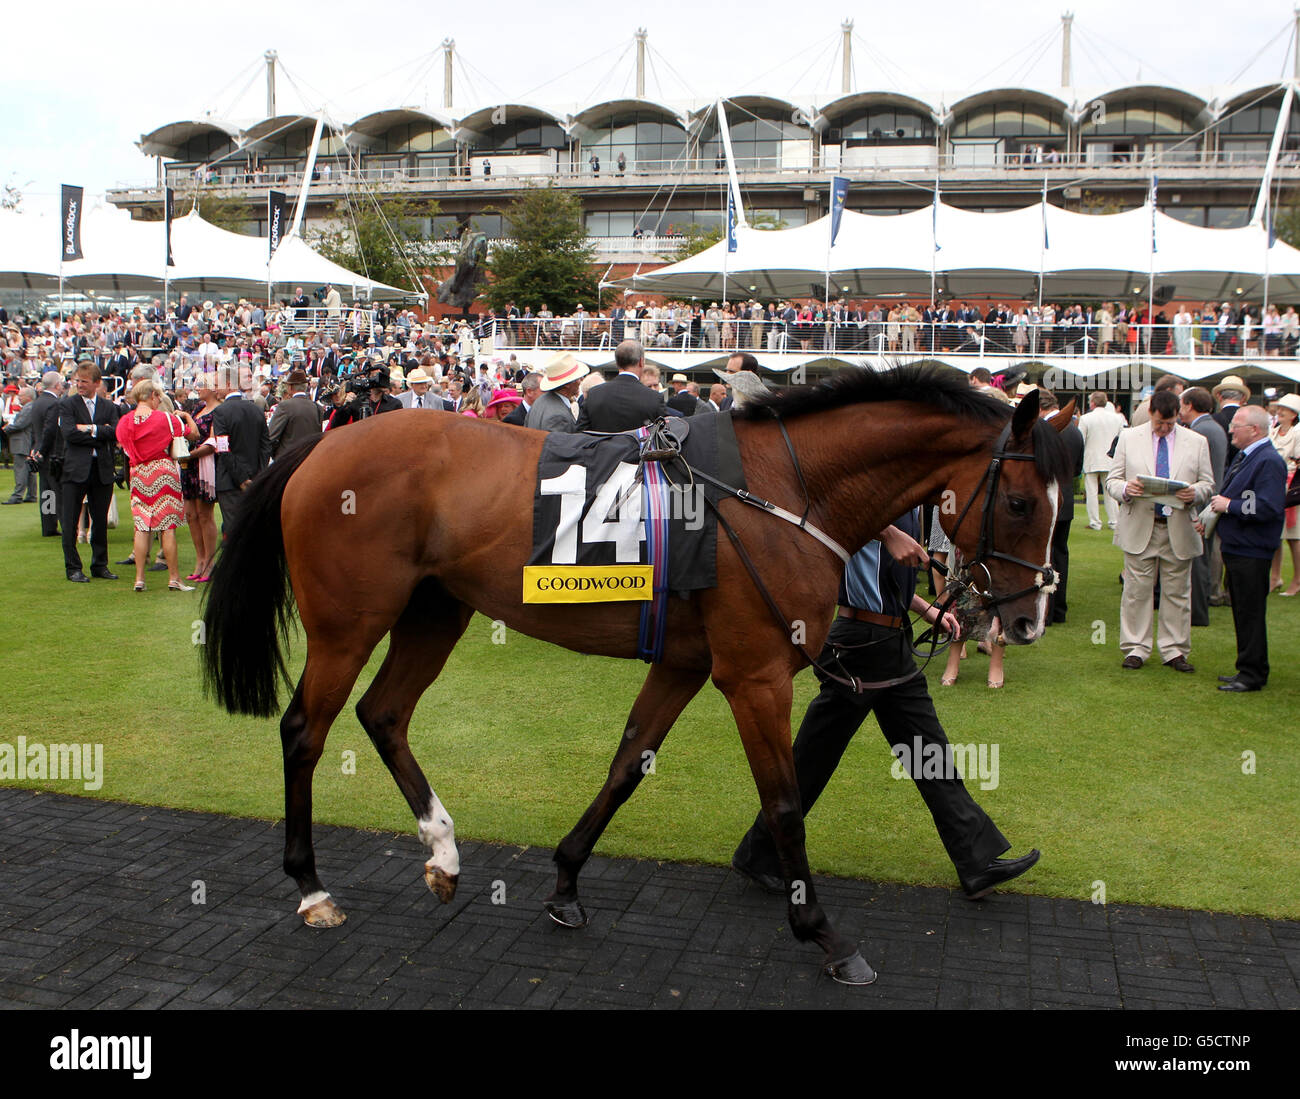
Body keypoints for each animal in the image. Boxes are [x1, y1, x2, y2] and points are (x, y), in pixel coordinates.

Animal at [200, 363, 1074, 985]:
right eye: (1022, 502)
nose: (1029, 616)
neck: (784, 494)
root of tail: (322, 443)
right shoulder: (755, 673)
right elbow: (786, 804)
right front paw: (824, 933)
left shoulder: (686, 662)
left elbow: (627, 764)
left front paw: (564, 883)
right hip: (348, 623)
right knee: (304, 730)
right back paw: (312, 887)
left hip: (434, 609)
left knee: (383, 714)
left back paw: (443, 853)